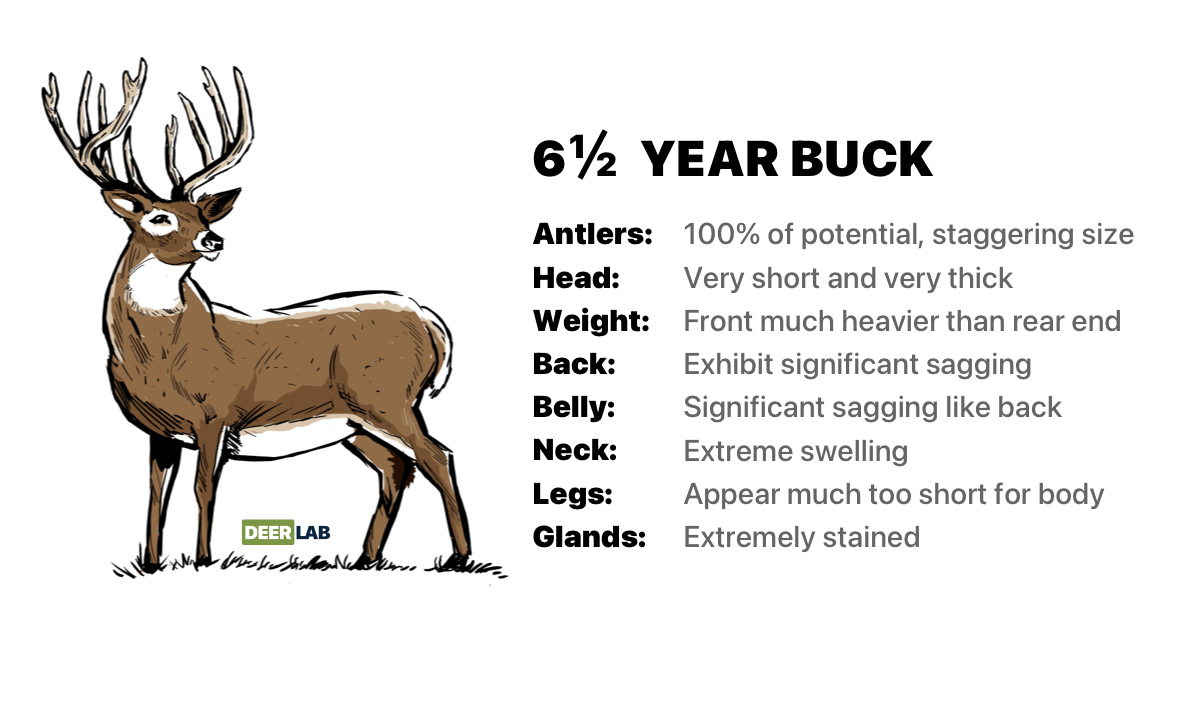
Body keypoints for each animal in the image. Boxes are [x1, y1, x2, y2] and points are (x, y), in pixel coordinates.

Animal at [42, 60, 470, 571]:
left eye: (203, 216)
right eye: (160, 218)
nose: (213, 240)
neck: (157, 358)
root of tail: (430, 320)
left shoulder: (216, 412)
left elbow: (203, 488)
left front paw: (203, 560)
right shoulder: (159, 431)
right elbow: (153, 495)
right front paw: (150, 564)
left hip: (390, 398)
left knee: (437, 457)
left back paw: (459, 557)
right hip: (356, 420)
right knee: (397, 467)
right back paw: (365, 559)